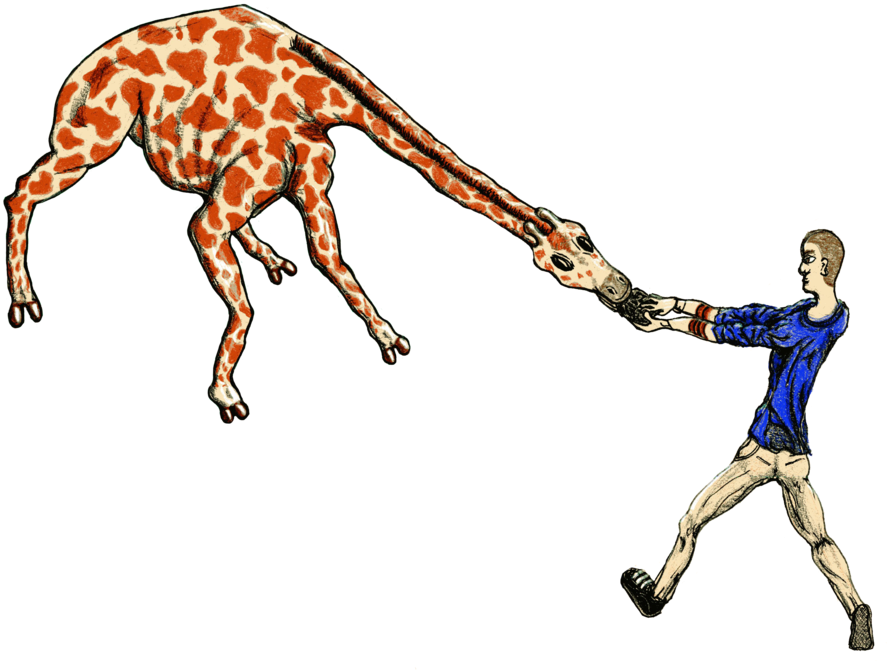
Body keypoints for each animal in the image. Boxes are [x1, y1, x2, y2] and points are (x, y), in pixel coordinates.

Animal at [4, 5, 640, 423]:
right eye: (560, 263)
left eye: (587, 239)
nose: (621, 291)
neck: (321, 98)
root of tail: (83, 68)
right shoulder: (248, 182)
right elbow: (238, 297)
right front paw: (226, 395)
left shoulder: (310, 173)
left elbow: (330, 259)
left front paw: (389, 340)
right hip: (95, 135)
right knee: (22, 193)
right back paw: (24, 304)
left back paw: (271, 260)